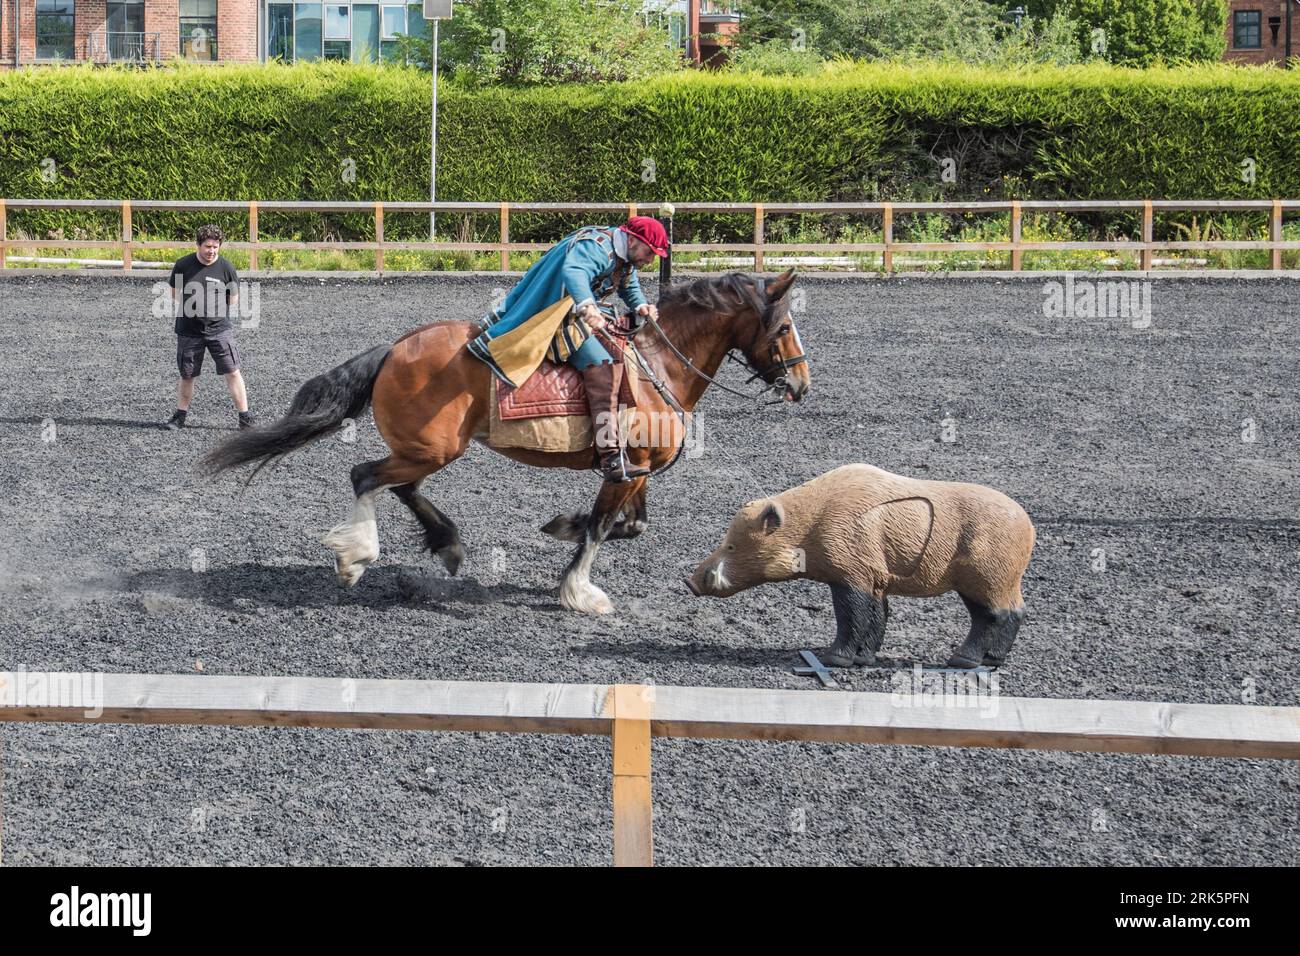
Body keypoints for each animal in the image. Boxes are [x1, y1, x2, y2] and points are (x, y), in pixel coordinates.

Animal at [200, 269, 811, 614]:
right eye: (783, 328)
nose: (802, 385)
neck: (656, 365)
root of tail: (395, 347)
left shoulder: (633, 470)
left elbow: (627, 525)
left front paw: (563, 527)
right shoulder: (623, 469)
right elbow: (600, 529)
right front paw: (578, 591)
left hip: (426, 449)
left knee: (401, 485)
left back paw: (446, 543)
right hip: (434, 447)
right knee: (366, 475)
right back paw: (358, 556)